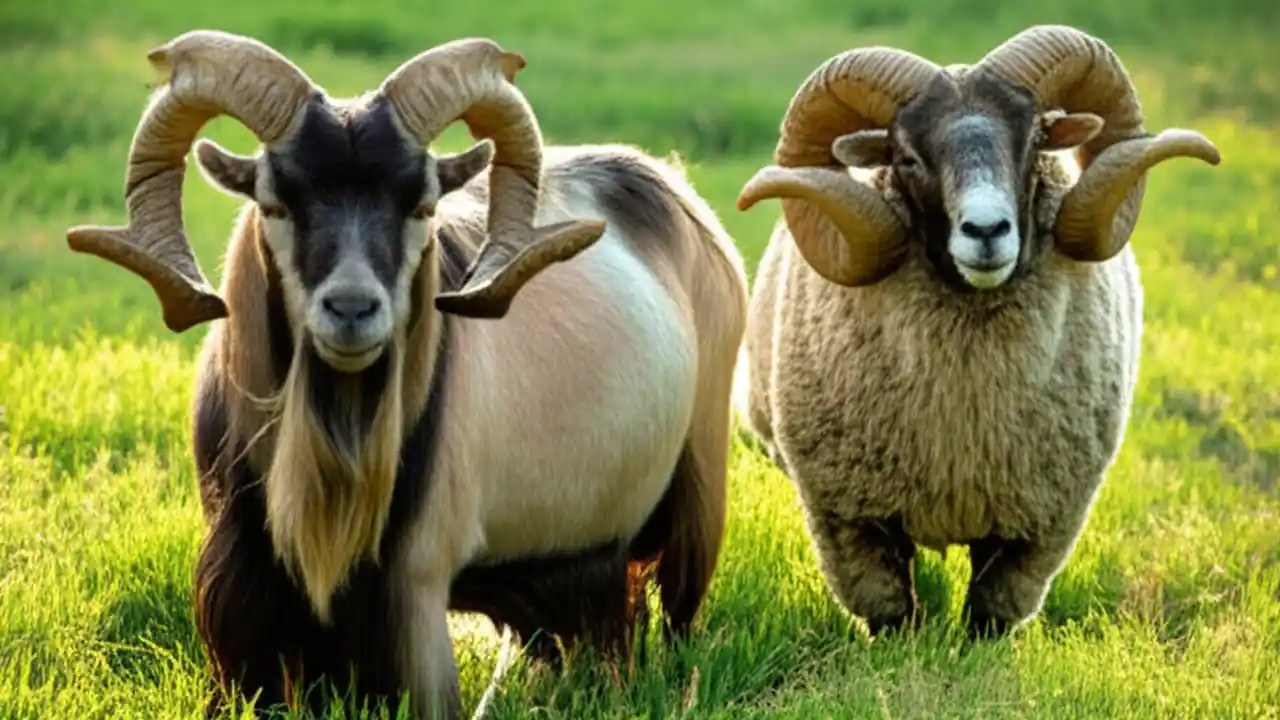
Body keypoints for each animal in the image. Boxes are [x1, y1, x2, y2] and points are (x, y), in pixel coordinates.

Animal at [67, 31, 747, 718]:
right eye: (276, 201)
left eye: (420, 206)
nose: (351, 309)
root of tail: (684, 204)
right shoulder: (241, 590)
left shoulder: (411, 596)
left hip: (697, 507)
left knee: (677, 616)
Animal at [736, 25, 1220, 636]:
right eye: (907, 157)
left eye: (1036, 140)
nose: (986, 230)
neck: (964, 425)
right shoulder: (849, 517)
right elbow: (892, 612)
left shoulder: (1039, 524)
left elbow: (989, 614)